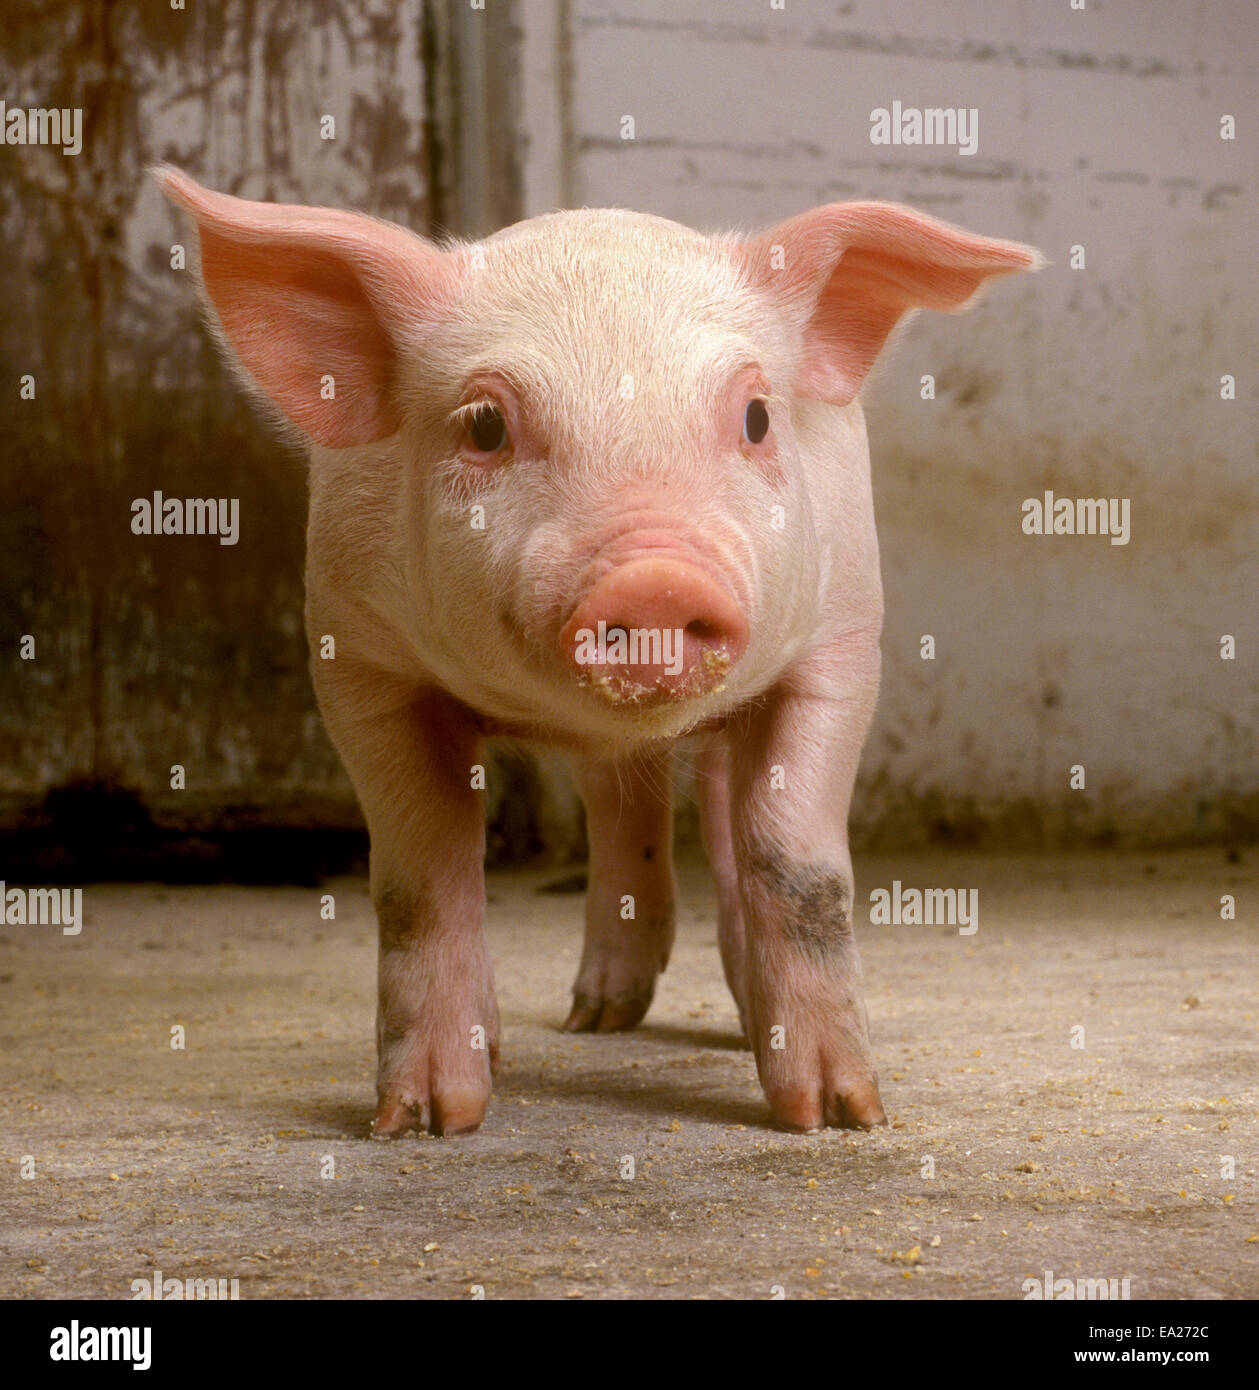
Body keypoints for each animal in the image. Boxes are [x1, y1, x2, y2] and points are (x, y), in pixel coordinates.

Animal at [155, 166, 1041, 1136]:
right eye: (485, 425)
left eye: (756, 417)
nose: (653, 577)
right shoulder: (356, 659)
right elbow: (419, 878)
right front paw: (425, 1120)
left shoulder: (842, 641)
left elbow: (796, 863)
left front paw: (840, 1116)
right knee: (621, 805)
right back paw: (593, 1017)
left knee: (712, 813)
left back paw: (723, 1021)